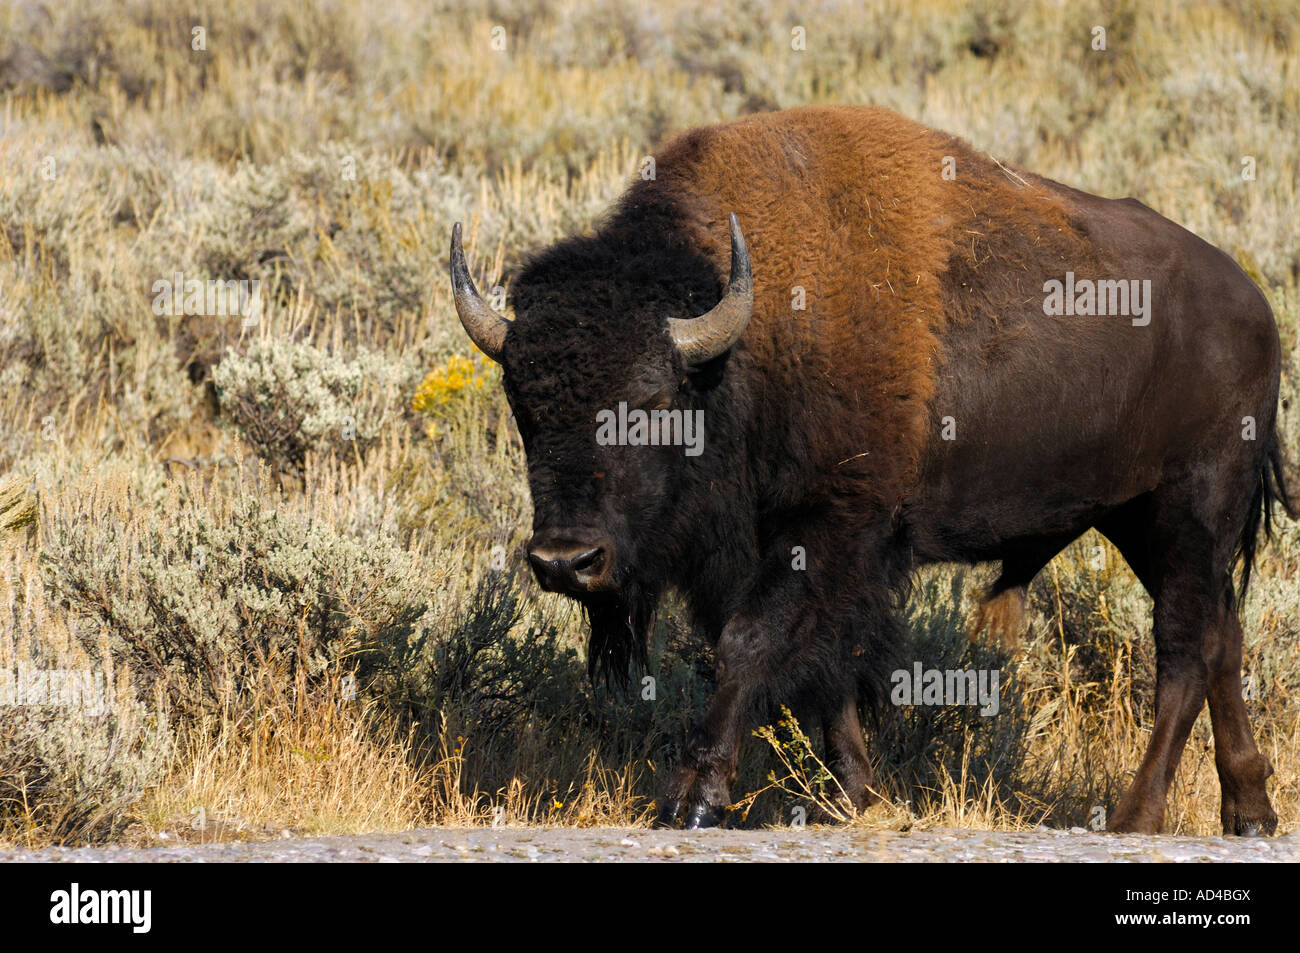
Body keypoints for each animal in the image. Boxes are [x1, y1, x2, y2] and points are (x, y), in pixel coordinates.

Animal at [449, 105, 1291, 834]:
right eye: (522, 403)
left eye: (654, 399)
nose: (566, 560)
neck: (748, 340)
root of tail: (1256, 307)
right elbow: (820, 673)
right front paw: (858, 796)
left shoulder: (831, 528)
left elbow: (751, 643)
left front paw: (694, 797)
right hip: (1141, 521)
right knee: (1224, 634)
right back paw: (1249, 810)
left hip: (1191, 510)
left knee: (1185, 649)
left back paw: (1134, 816)